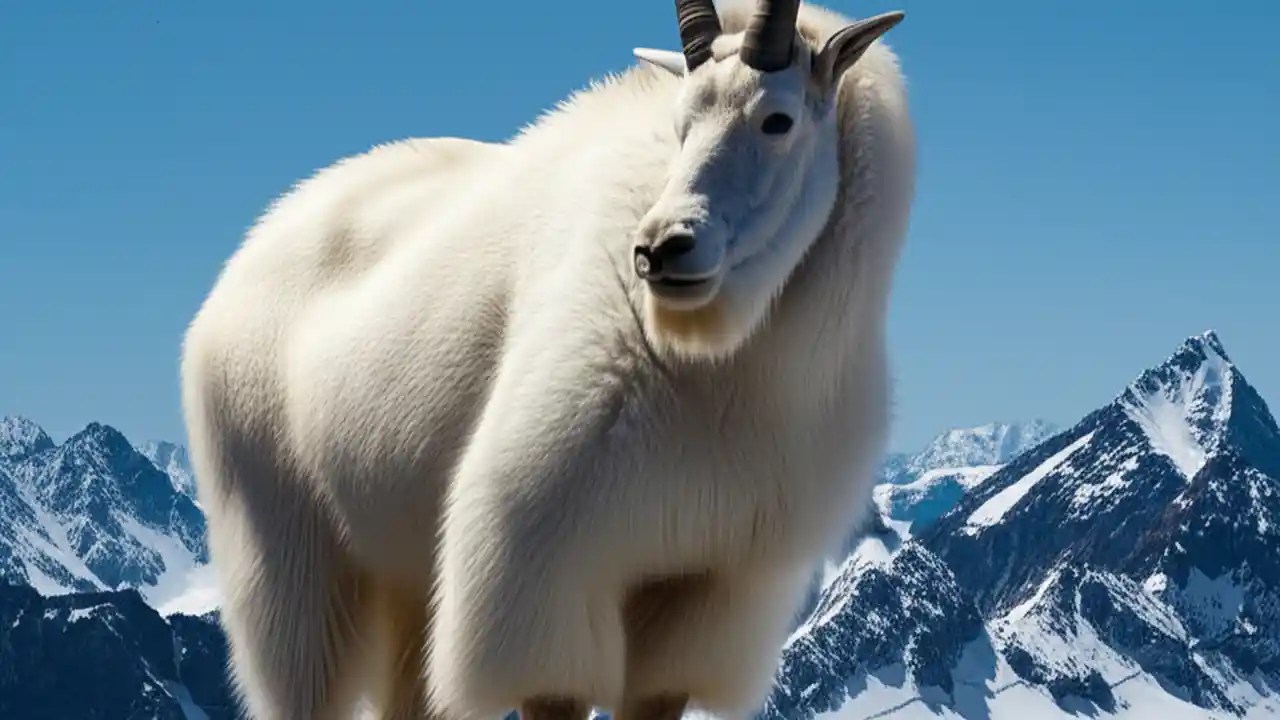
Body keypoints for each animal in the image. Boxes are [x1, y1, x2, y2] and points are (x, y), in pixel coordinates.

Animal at [180, 2, 915, 719]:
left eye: (777, 119)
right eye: (680, 122)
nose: (662, 250)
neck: (725, 372)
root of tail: (242, 260)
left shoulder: (715, 583)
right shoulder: (540, 565)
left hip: (404, 571)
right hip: (283, 549)